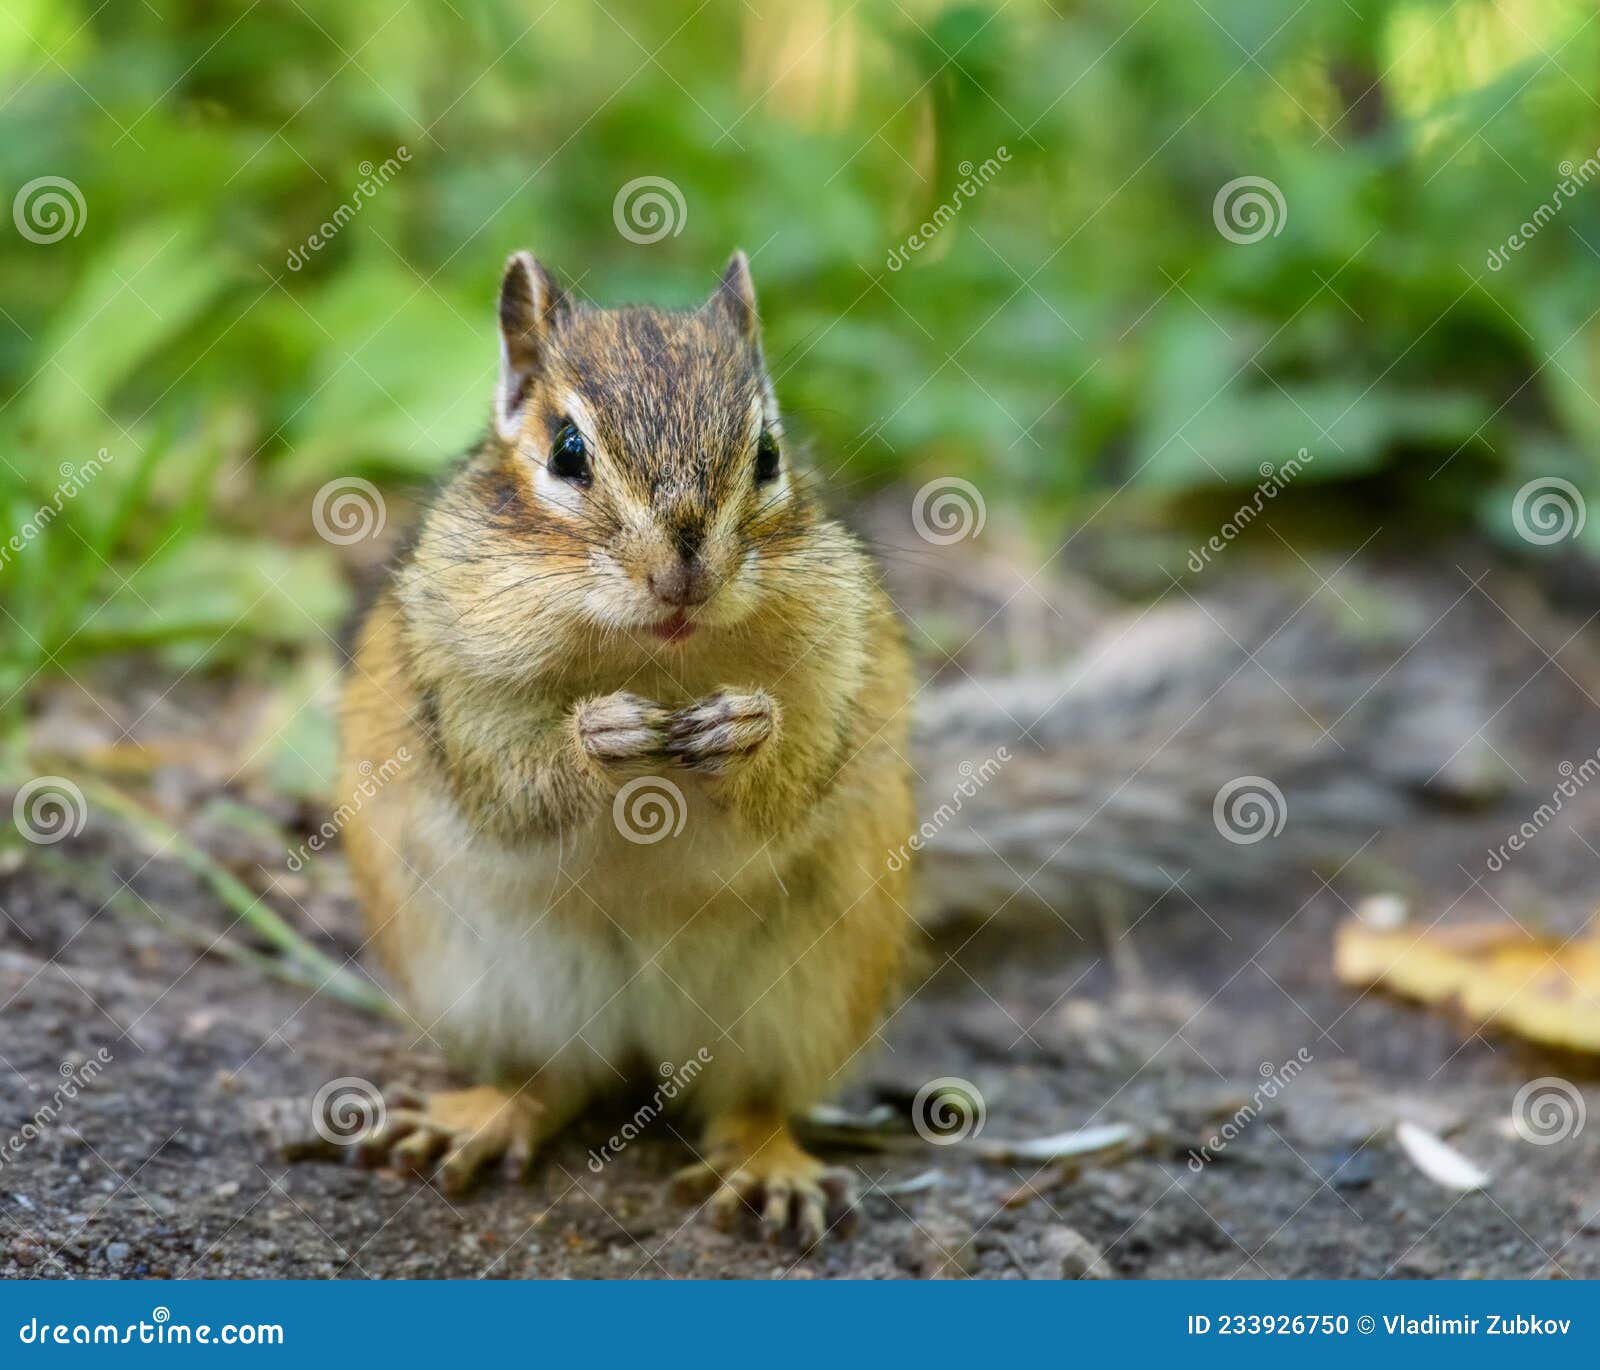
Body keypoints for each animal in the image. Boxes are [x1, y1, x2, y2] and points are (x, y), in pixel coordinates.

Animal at [340, 250, 914, 1245]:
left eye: (769, 455)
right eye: (567, 452)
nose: (685, 574)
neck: (654, 657)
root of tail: (643, 1044)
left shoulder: (839, 666)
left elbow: (799, 772)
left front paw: (745, 732)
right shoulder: (455, 687)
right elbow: (511, 784)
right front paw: (598, 734)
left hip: (805, 997)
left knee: (752, 1102)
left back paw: (768, 1166)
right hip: (490, 987)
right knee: (547, 1086)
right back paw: (478, 1118)